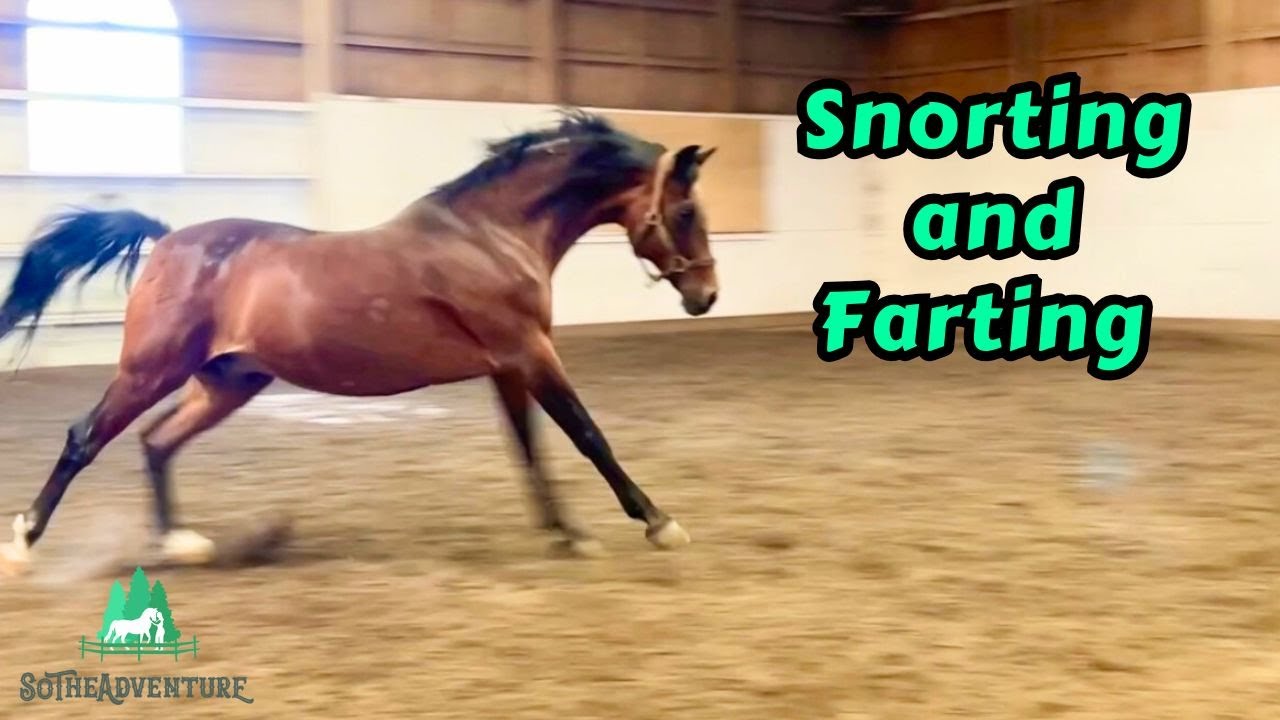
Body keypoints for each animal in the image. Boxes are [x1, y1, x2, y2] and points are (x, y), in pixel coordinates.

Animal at [0, 110, 720, 573]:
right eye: (685, 211)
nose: (706, 296)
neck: (489, 237)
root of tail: (168, 238)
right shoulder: (529, 353)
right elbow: (588, 435)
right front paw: (660, 524)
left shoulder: (510, 366)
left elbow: (531, 450)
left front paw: (567, 535)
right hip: (153, 369)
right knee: (86, 438)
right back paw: (25, 541)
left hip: (229, 381)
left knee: (156, 443)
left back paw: (181, 544)